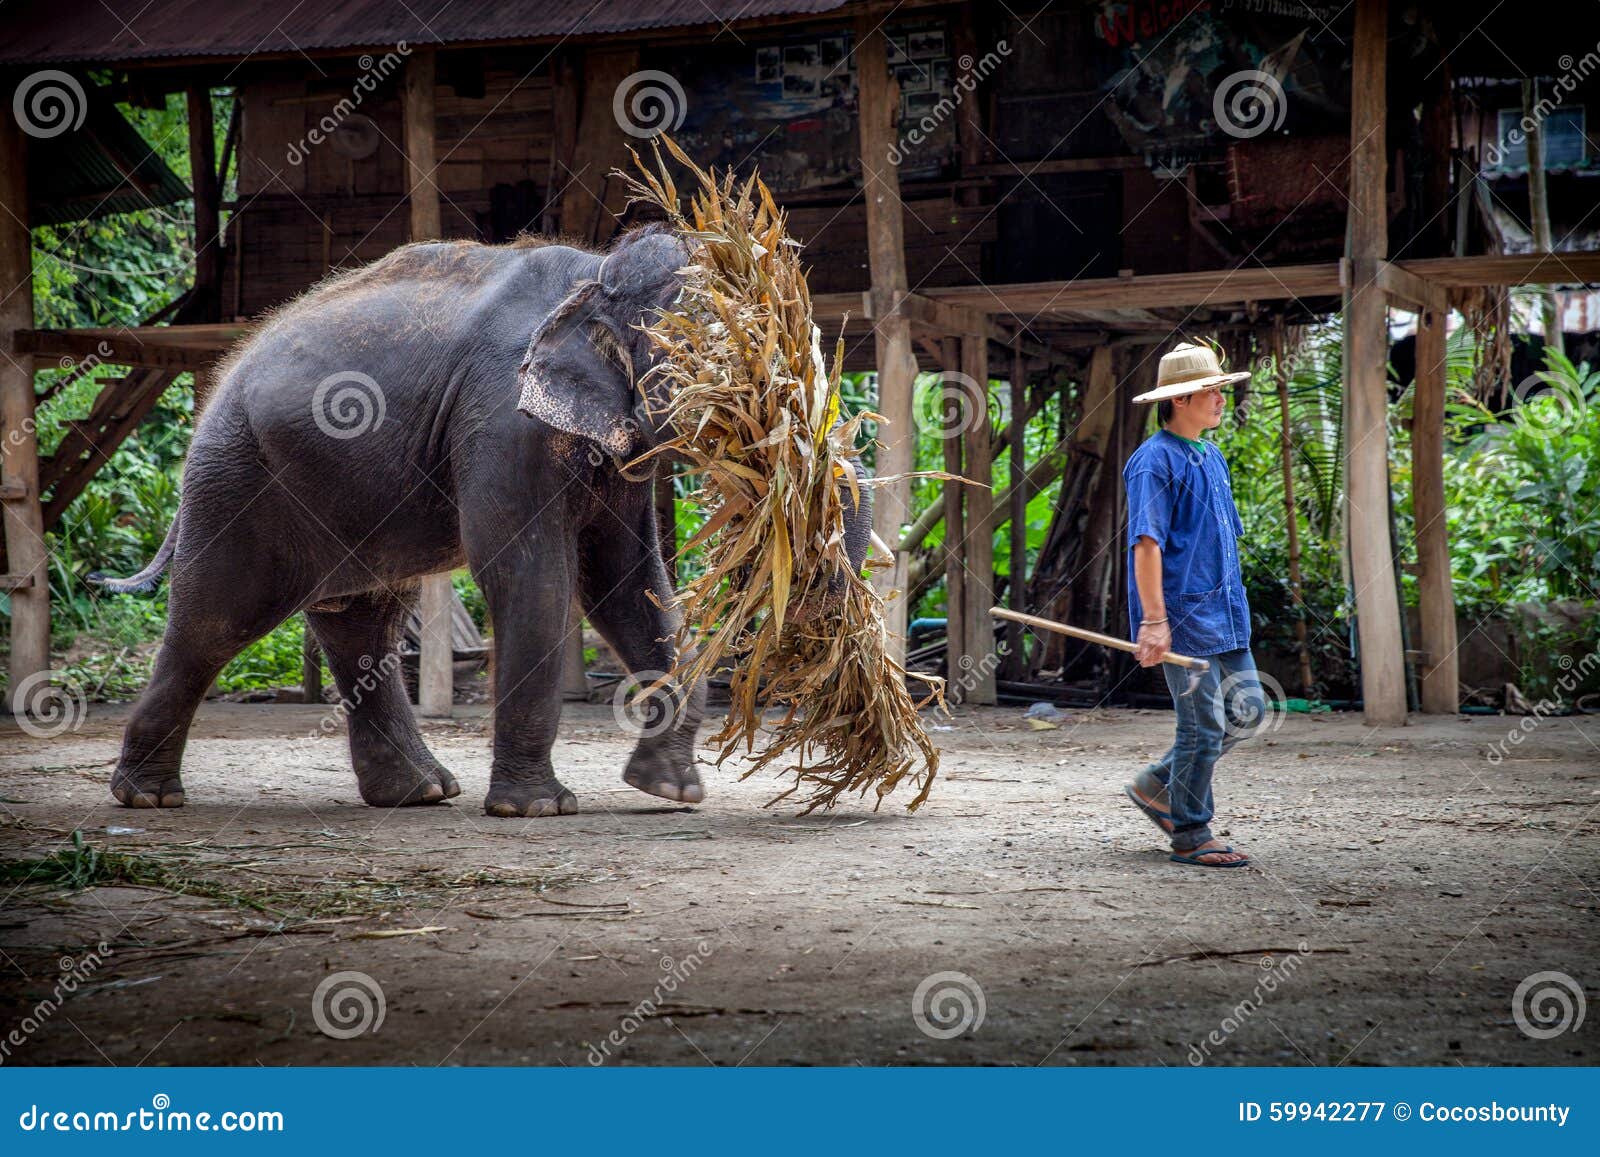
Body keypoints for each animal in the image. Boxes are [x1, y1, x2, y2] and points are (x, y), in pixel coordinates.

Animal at [93, 225, 872, 817]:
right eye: (735, 371)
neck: (594, 279)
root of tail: (225, 371)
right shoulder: (503, 418)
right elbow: (535, 579)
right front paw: (539, 809)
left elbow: (626, 579)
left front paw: (669, 789)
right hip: (237, 480)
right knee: (215, 620)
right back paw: (149, 798)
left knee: (361, 621)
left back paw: (421, 793)